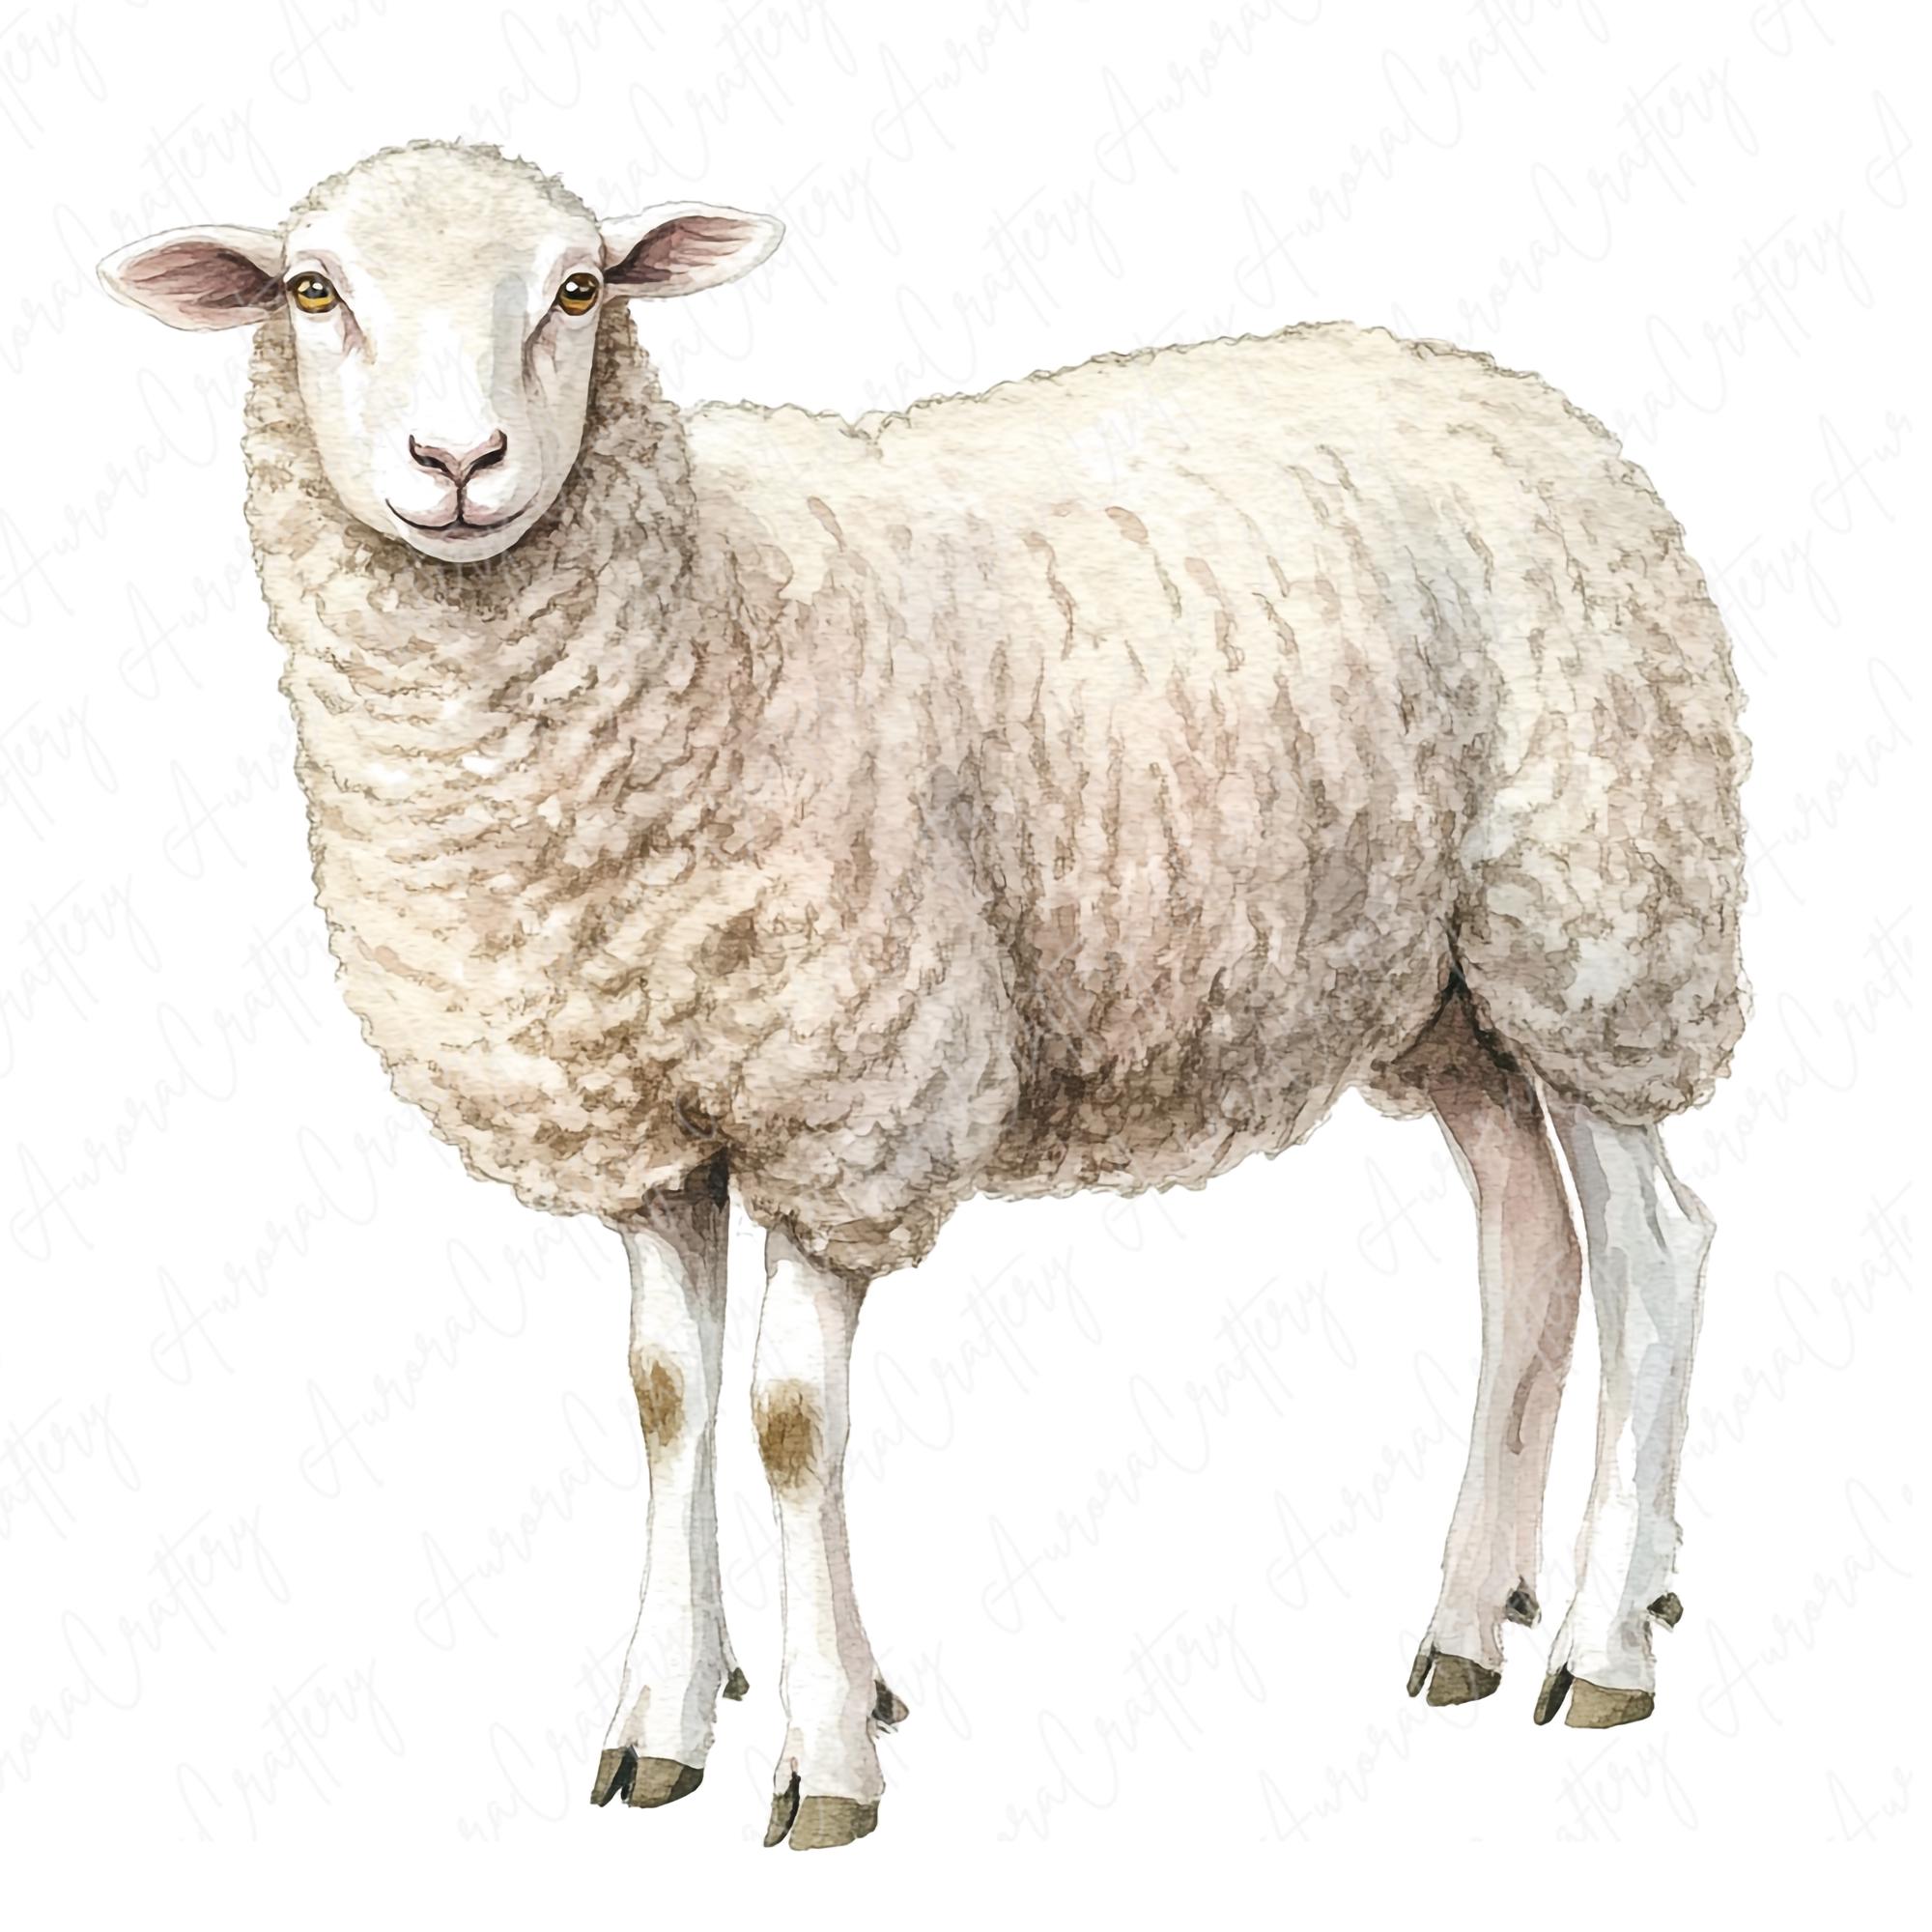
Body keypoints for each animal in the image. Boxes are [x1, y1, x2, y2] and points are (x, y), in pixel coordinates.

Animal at [99, 139, 1748, 1849]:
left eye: (579, 289)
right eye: (313, 291)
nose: (460, 461)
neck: (704, 612)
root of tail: (1517, 395)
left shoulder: (849, 1089)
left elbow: (783, 1421)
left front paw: (825, 1752)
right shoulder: (638, 1106)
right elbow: (665, 1396)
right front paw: (666, 1716)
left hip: (1598, 915)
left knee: (1654, 1248)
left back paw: (1605, 1641)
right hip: (1441, 988)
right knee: (1527, 1235)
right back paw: (1468, 1621)